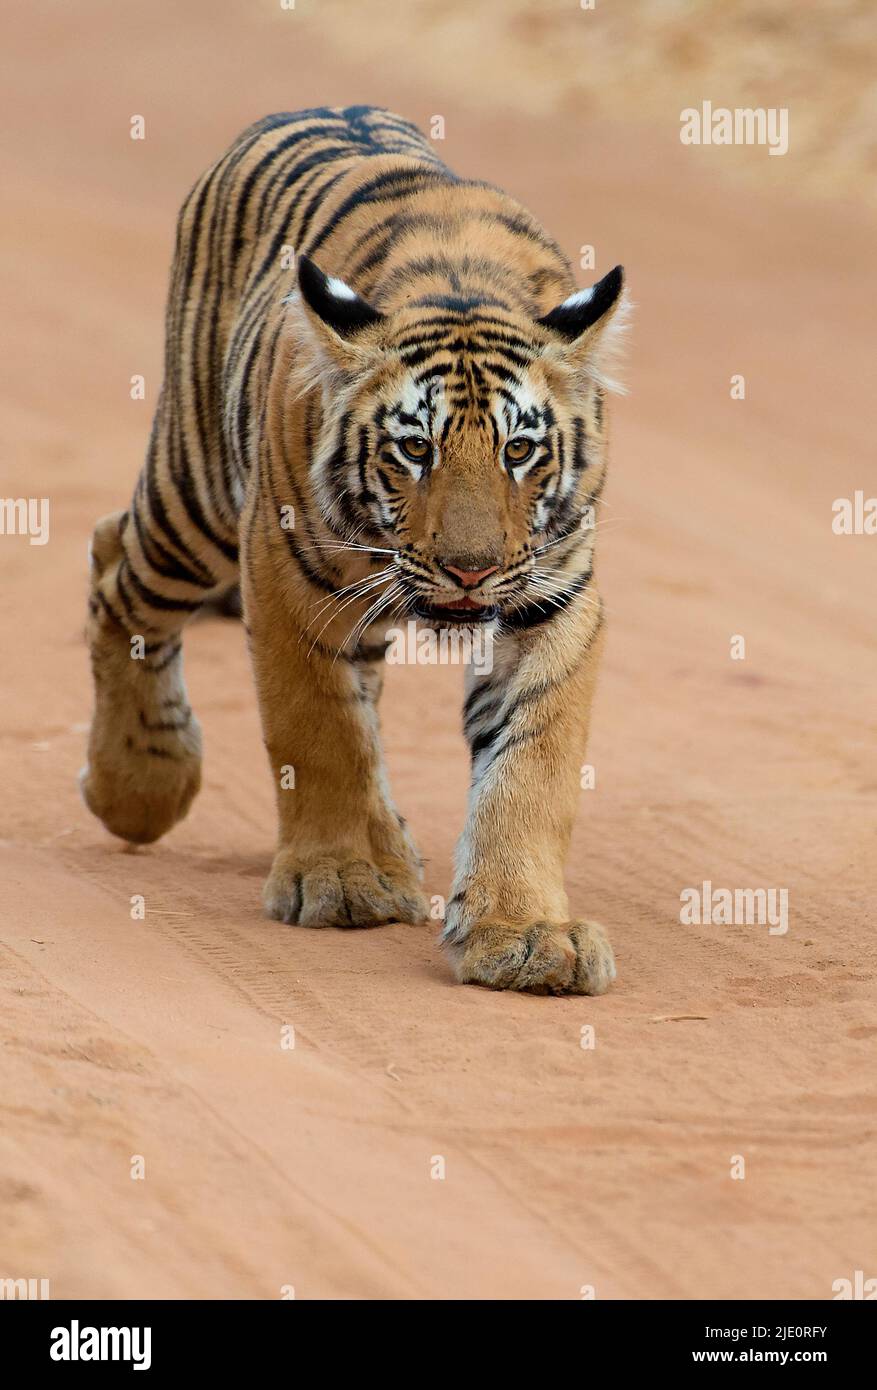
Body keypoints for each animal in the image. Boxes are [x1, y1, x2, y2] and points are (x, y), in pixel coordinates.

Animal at [82, 105, 628, 996]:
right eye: (414, 449)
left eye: (517, 451)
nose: (470, 569)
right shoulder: (284, 572)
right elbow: (317, 733)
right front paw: (334, 882)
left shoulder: (551, 598)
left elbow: (531, 768)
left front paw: (525, 933)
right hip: (195, 504)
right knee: (116, 568)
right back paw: (139, 786)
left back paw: (394, 851)